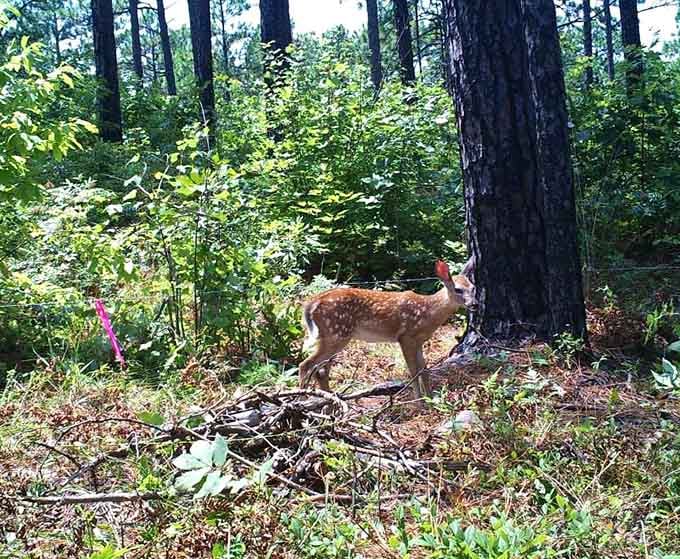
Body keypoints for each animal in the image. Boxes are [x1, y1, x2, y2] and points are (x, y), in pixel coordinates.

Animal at [298, 258, 476, 403]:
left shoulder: (419, 341)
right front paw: (419, 402)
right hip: (336, 333)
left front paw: (431, 399)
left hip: (332, 336)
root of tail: (311, 303)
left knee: (321, 370)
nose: (474, 304)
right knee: (306, 364)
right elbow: (412, 371)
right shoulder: (405, 337)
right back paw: (301, 399)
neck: (428, 313)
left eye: (473, 287)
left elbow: (424, 370)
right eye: (458, 289)